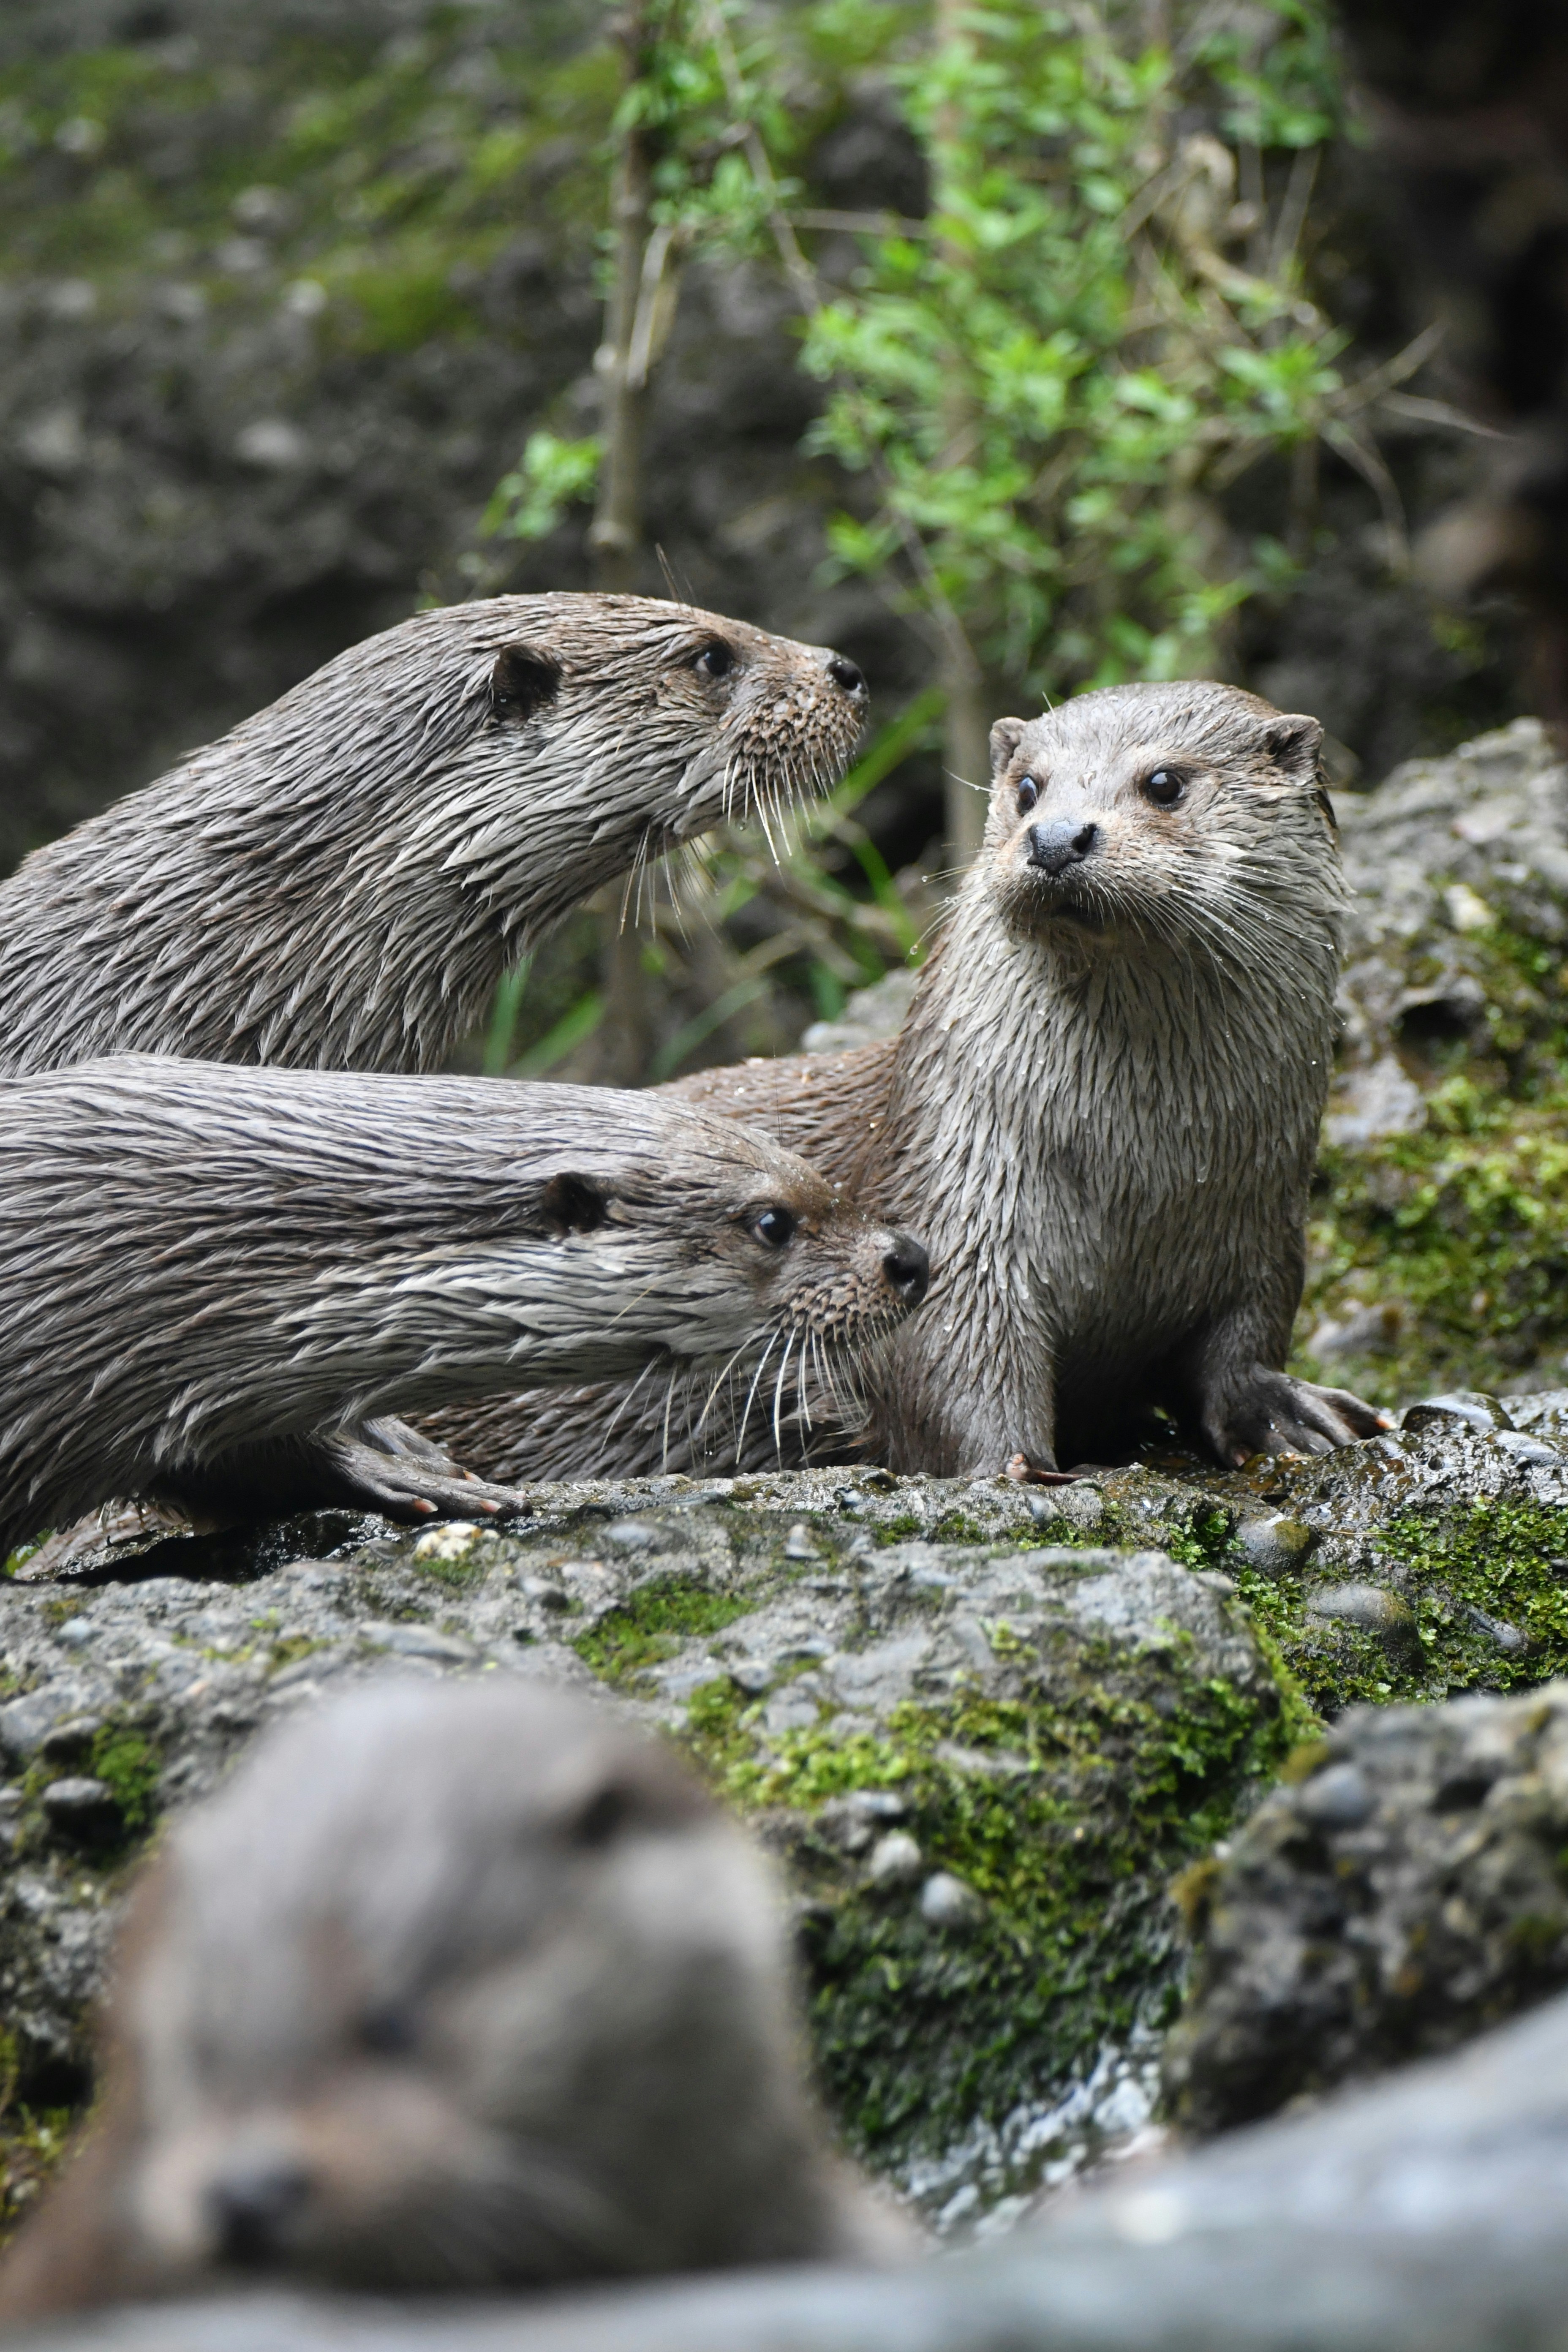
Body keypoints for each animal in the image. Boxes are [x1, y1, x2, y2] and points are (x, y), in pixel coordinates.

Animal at [424, 683, 1384, 1480]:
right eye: (1027, 788)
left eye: (1162, 783)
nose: (1054, 838)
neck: (1142, 1178)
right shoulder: (959, 1196)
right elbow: (948, 1353)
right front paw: (1018, 1469)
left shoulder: (1264, 1222)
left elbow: (1242, 1342)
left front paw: (1289, 1415)